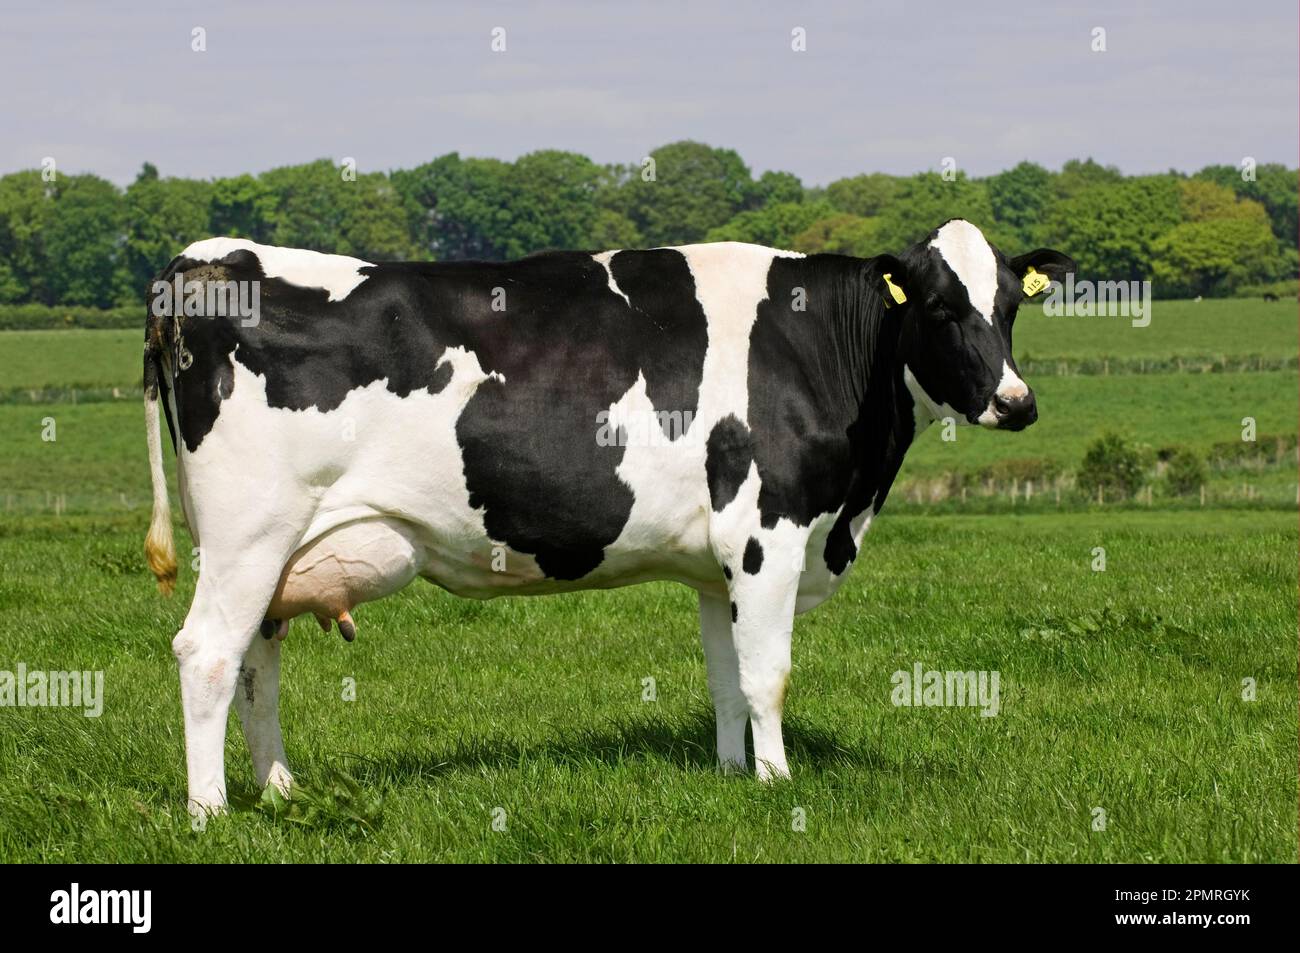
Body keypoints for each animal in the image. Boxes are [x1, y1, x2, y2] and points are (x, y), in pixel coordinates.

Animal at [143, 218, 1074, 814]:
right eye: (941, 307)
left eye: (1009, 306)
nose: (1018, 402)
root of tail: (202, 260)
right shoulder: (767, 536)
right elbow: (767, 675)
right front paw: (777, 785)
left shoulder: (718, 563)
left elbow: (724, 675)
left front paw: (730, 775)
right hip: (248, 533)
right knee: (207, 653)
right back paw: (210, 810)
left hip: (280, 548)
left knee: (258, 659)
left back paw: (279, 788)